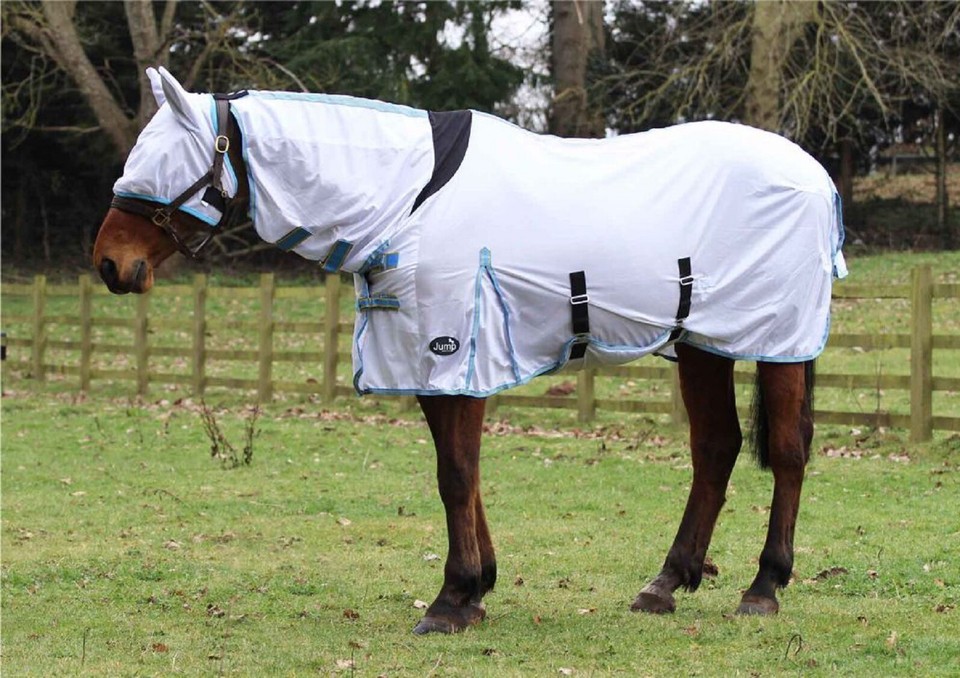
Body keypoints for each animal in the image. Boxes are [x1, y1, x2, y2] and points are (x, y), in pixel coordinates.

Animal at [93, 68, 847, 634]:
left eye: (164, 161)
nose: (109, 264)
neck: (407, 200)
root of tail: (815, 174)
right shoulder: (434, 361)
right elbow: (466, 473)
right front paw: (479, 586)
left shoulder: (451, 350)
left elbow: (455, 475)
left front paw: (451, 600)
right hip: (703, 344)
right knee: (716, 447)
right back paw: (666, 582)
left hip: (777, 343)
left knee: (786, 451)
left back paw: (764, 587)